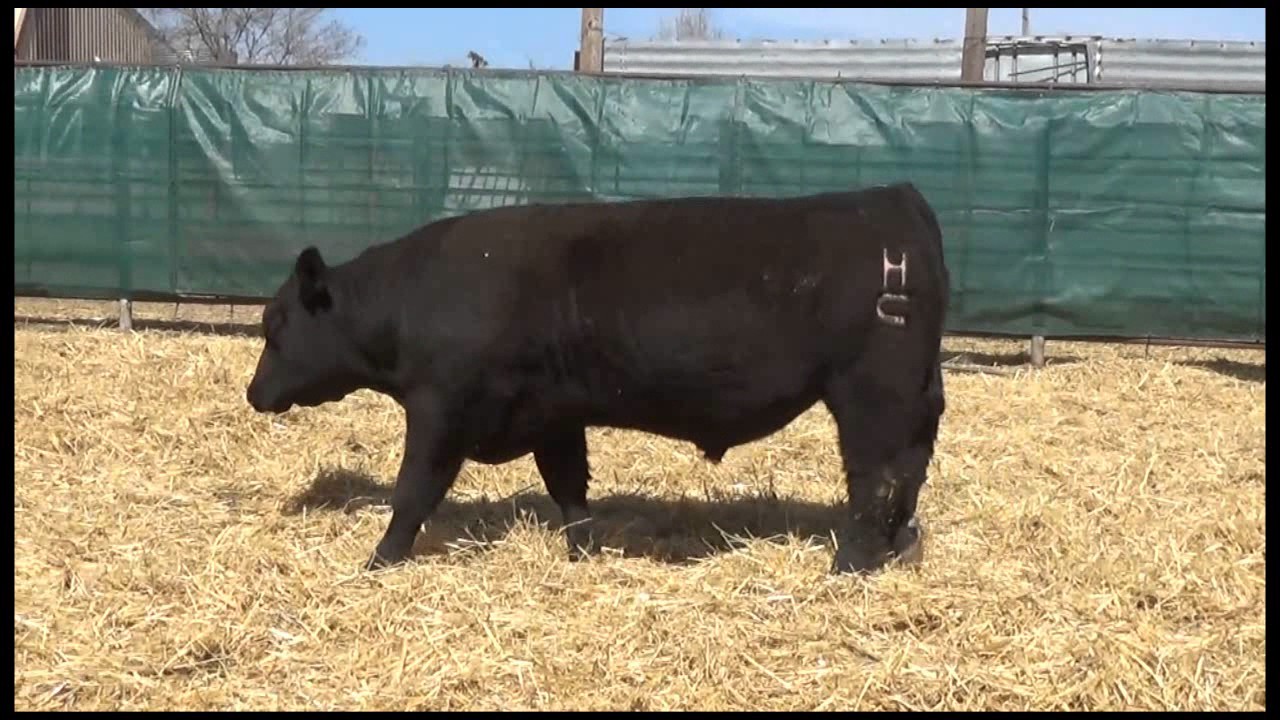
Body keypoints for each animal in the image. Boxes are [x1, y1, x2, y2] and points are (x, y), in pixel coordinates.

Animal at [245, 182, 950, 575]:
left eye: (275, 324)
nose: (254, 393)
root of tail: (894, 199)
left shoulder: (440, 408)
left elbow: (413, 491)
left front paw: (378, 561)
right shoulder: (553, 413)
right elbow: (569, 489)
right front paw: (583, 553)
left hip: (872, 397)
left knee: (876, 478)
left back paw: (849, 565)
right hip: (911, 399)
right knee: (906, 476)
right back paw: (899, 548)